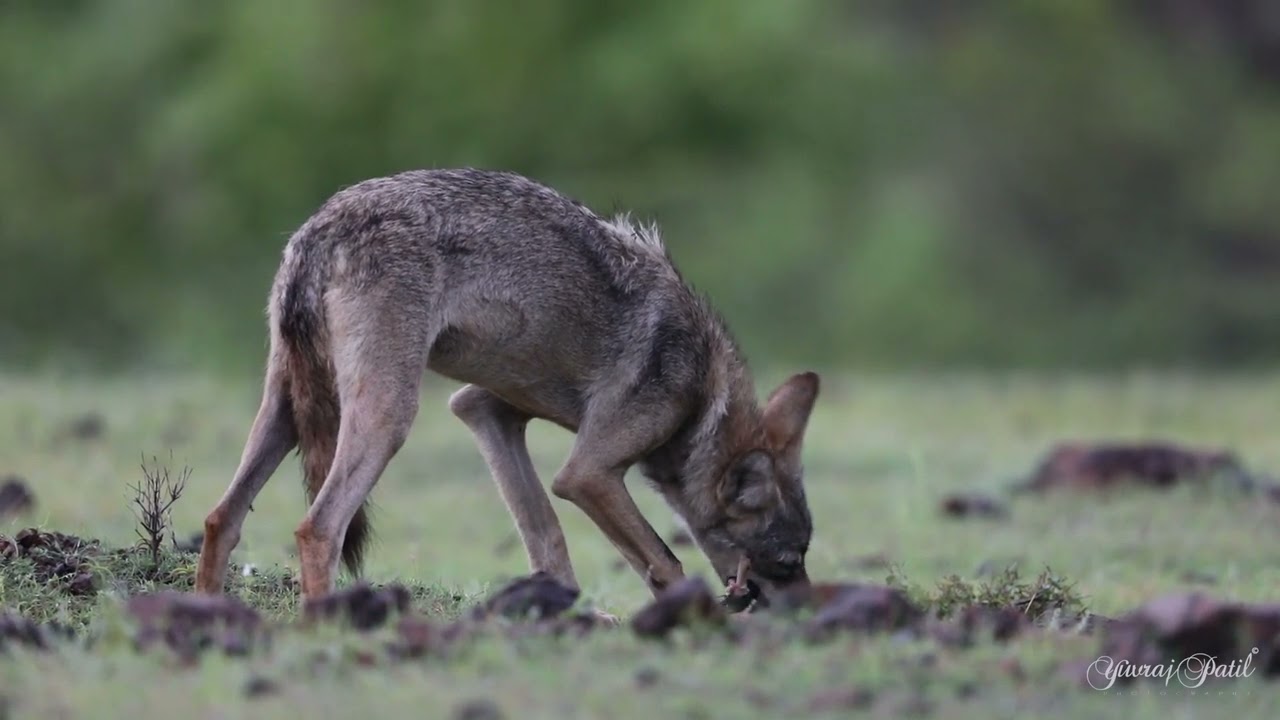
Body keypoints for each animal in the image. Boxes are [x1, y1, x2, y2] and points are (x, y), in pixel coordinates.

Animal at [193, 168, 821, 607]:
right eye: (788, 562)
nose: (806, 613)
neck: (701, 399)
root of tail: (319, 230)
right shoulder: (588, 473)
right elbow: (665, 562)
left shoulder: (483, 411)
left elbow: (545, 536)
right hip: (386, 419)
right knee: (317, 528)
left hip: (287, 410)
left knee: (221, 518)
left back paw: (212, 613)